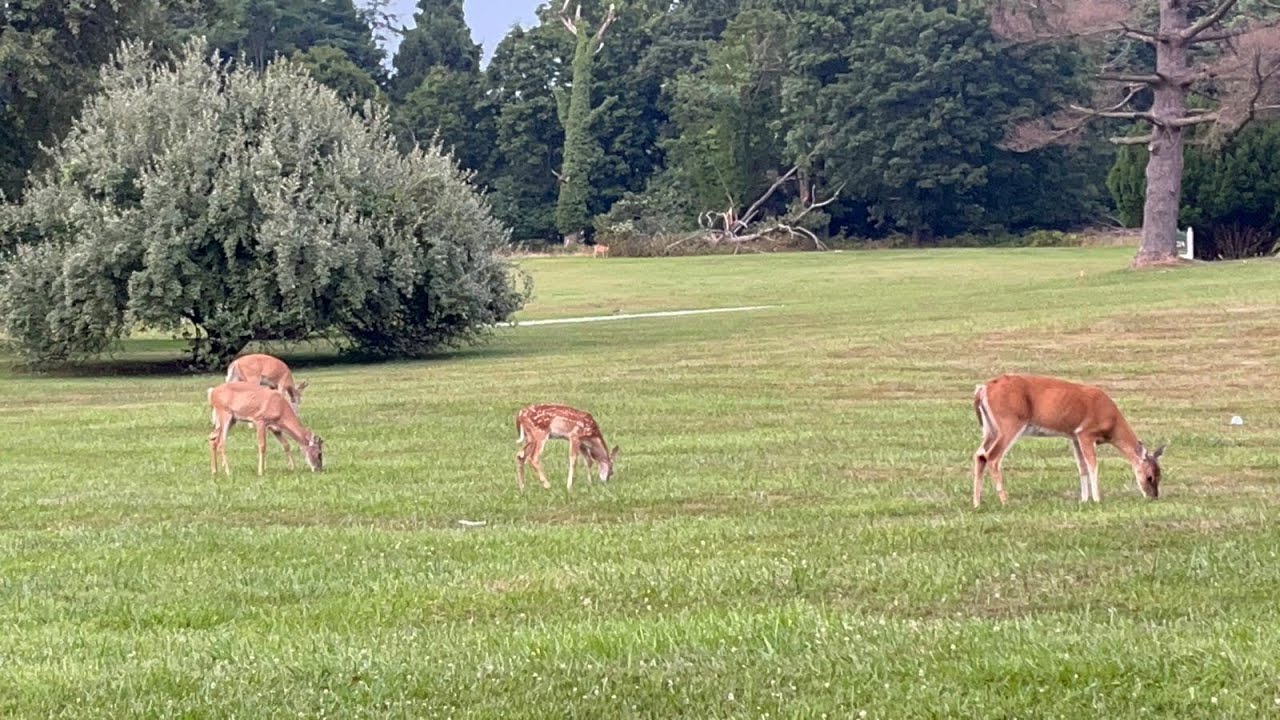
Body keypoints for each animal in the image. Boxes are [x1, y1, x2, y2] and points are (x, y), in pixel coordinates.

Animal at [972, 374, 1164, 507]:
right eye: (1149, 477)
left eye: (1160, 475)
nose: (1153, 497)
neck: (1112, 423)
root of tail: (982, 389)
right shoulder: (1086, 433)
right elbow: (1092, 465)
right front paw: (1096, 499)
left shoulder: (1074, 436)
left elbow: (1082, 467)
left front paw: (1084, 499)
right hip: (1009, 422)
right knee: (993, 457)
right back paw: (1005, 501)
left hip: (990, 428)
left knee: (980, 455)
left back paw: (977, 503)